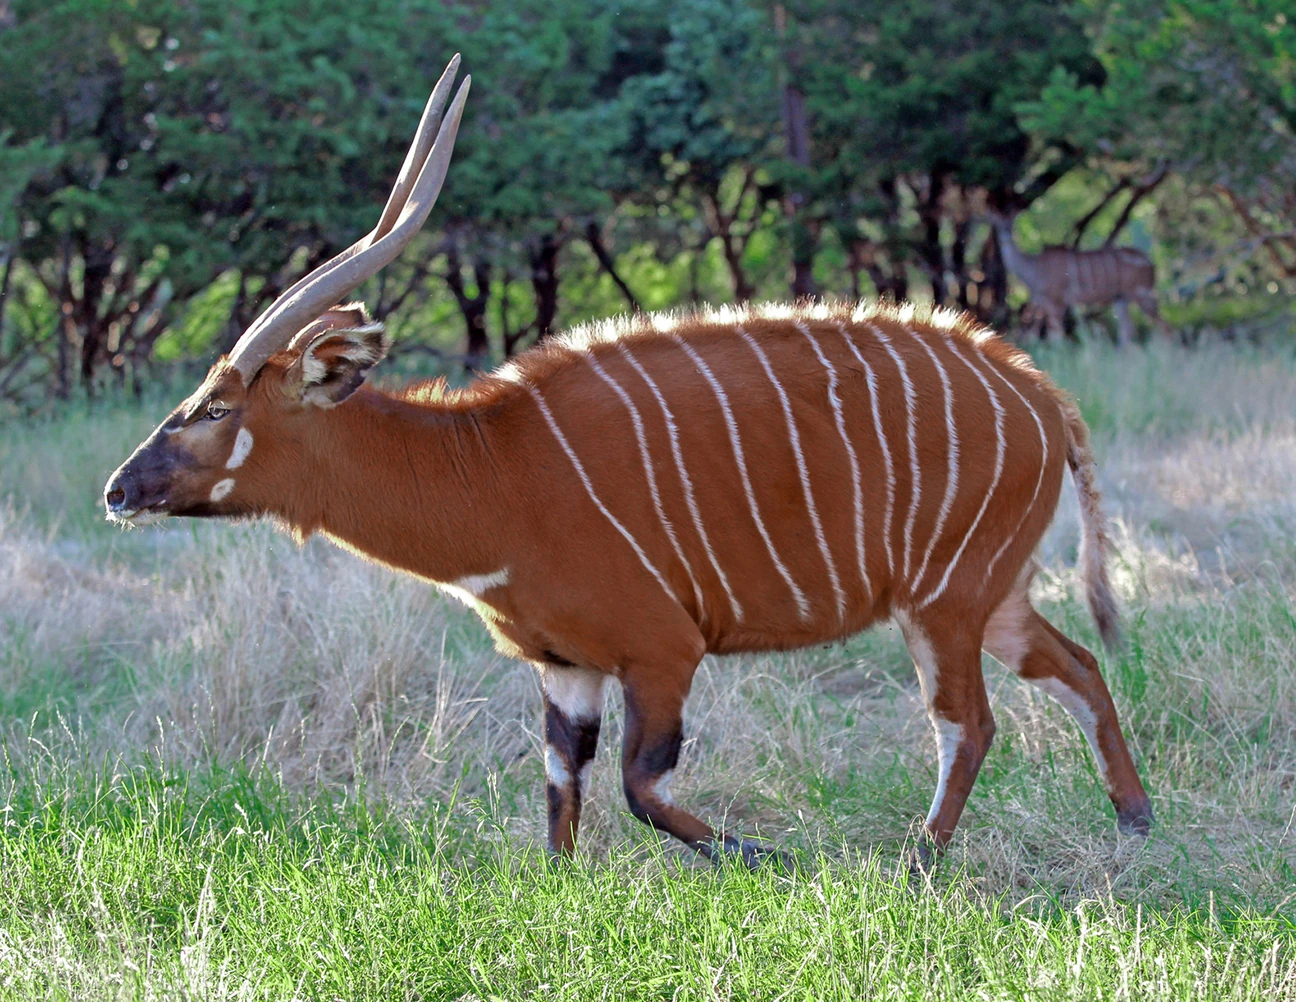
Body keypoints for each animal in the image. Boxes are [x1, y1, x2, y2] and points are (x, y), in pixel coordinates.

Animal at [104, 59, 1153, 868]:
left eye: (216, 407)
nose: (120, 490)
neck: (490, 469)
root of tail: (1039, 393)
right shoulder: (564, 668)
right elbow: (562, 799)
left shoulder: (662, 651)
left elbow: (640, 787)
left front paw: (771, 856)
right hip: (988, 597)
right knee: (1077, 666)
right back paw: (1135, 822)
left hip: (942, 603)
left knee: (966, 723)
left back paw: (917, 867)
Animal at [989, 209, 1173, 346]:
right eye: (997, 223)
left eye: (1011, 222)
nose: (1005, 234)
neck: (1034, 268)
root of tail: (1150, 262)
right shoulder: (1045, 304)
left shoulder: (1057, 303)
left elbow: (1056, 338)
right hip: (1121, 299)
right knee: (1127, 331)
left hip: (1142, 294)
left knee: (1165, 327)